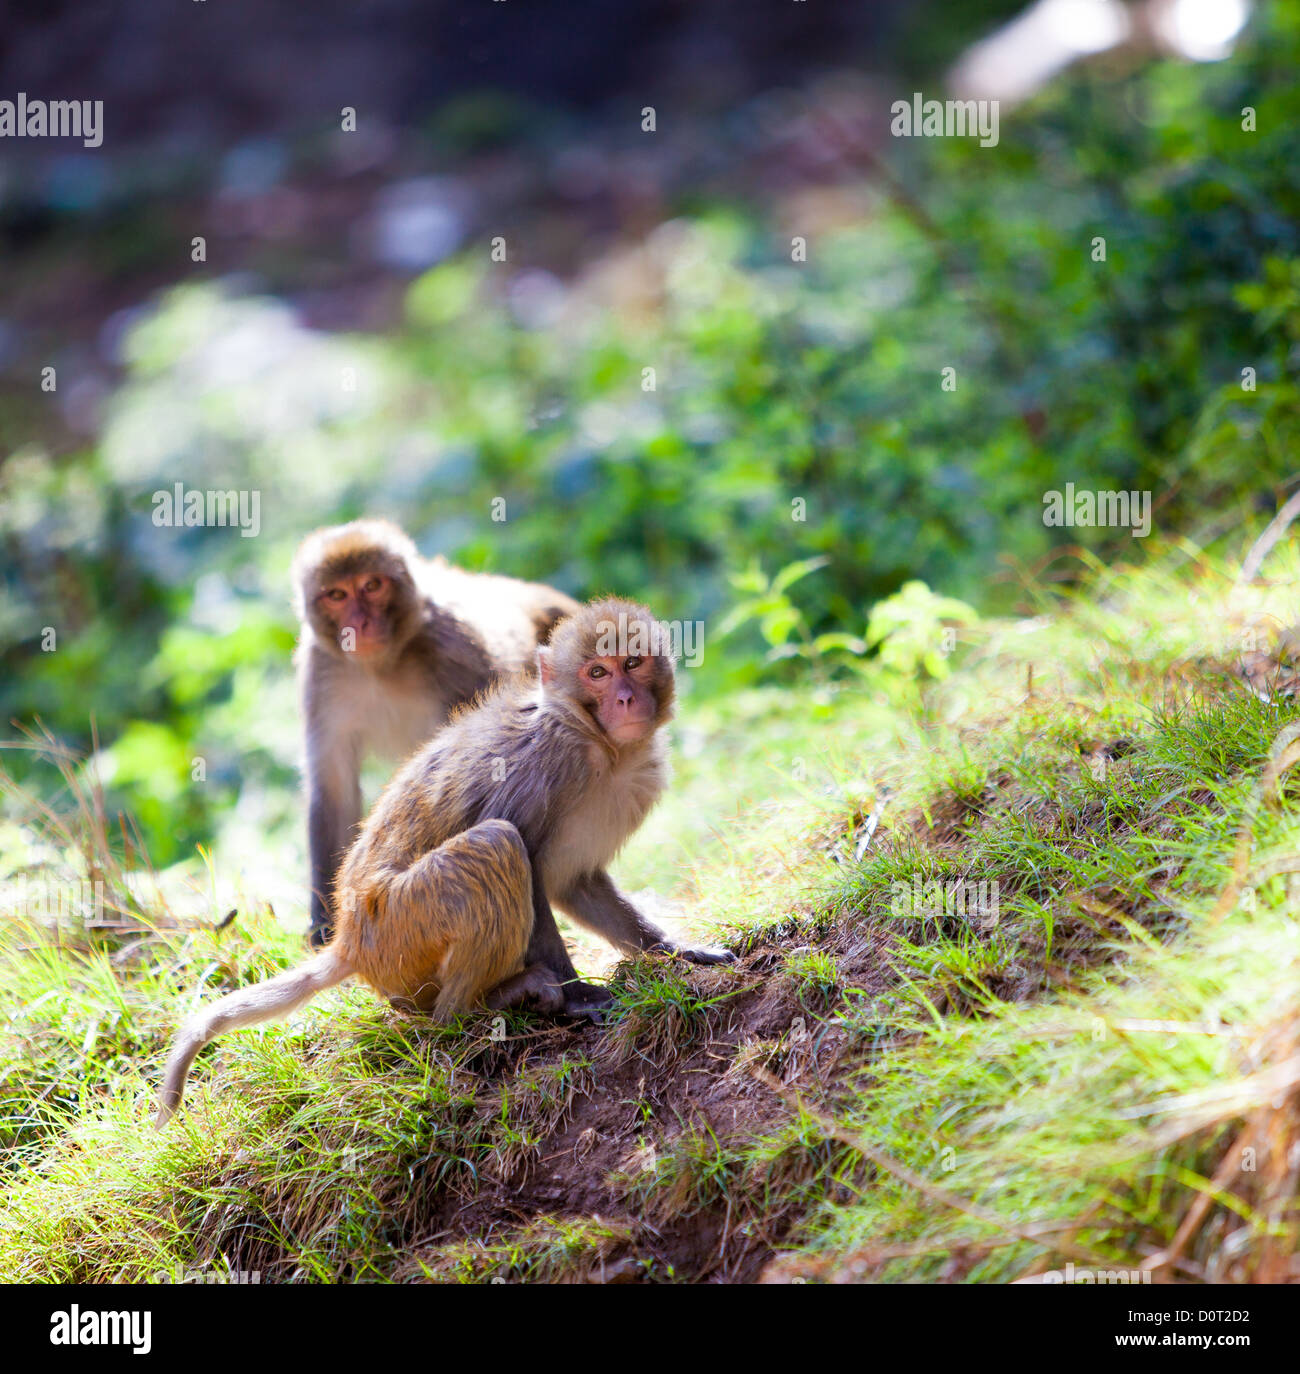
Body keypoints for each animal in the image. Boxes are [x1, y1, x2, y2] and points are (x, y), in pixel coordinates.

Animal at [156, 598, 734, 1126]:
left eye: (632, 662)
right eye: (597, 672)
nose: (624, 696)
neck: (601, 746)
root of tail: (347, 938)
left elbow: (574, 882)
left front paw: (673, 949)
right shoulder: (546, 760)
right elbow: (528, 859)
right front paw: (577, 998)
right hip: (398, 926)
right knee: (496, 845)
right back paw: (478, 1008)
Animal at [292, 518, 579, 946]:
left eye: (372, 586)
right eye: (337, 595)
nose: (360, 624)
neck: (383, 665)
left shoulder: (456, 649)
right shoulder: (322, 671)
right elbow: (333, 790)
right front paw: (324, 925)